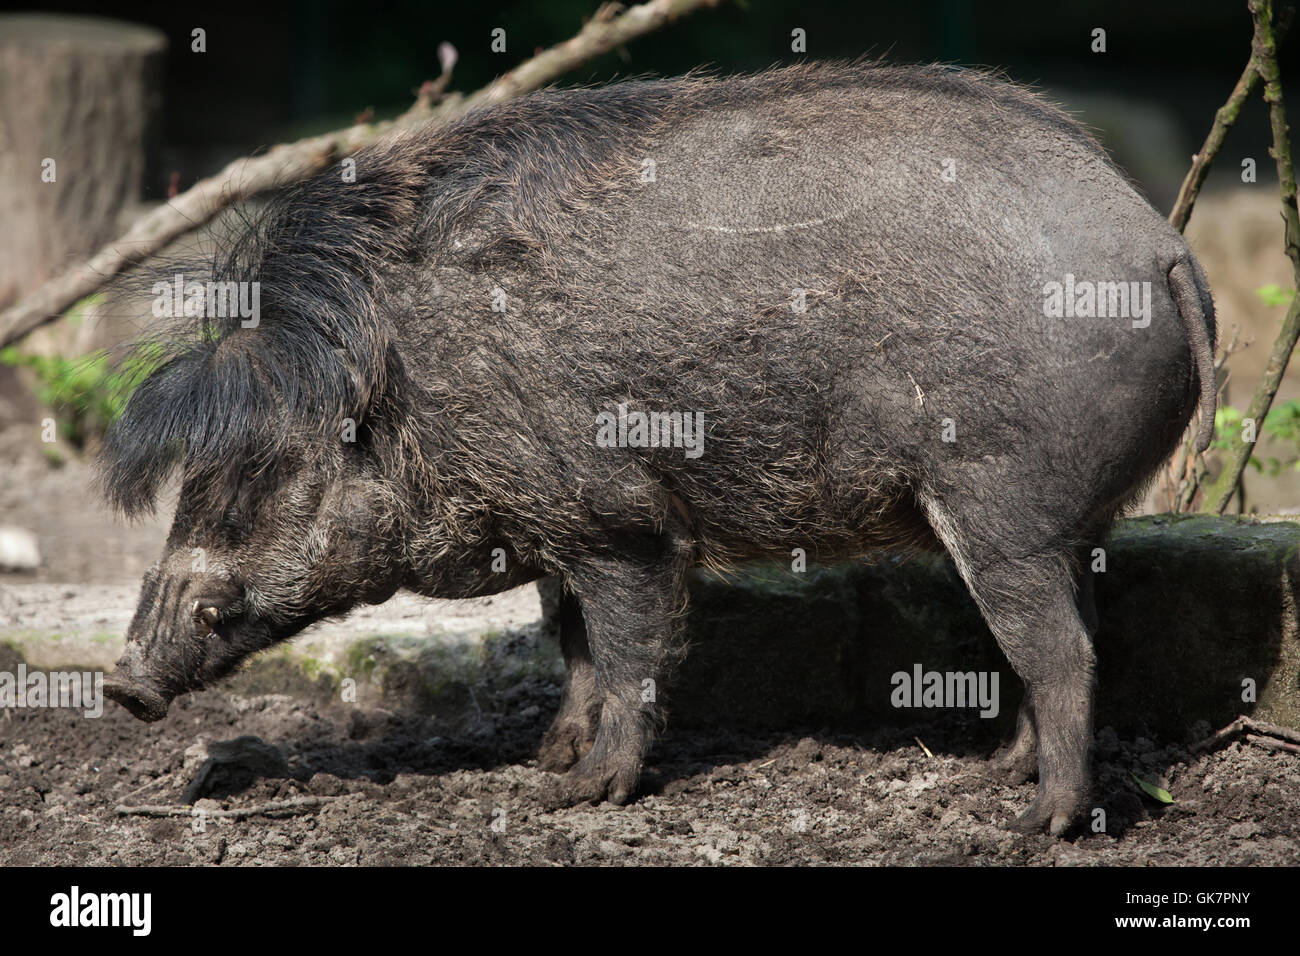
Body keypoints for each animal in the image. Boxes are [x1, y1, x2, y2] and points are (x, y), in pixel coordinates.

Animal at [100, 61, 1216, 836]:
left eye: (261, 473)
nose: (119, 685)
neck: (411, 388)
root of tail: (1161, 242)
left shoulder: (620, 521)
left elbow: (630, 648)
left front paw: (582, 793)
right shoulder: (555, 529)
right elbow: (573, 644)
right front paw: (548, 761)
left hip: (1001, 508)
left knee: (1059, 650)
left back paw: (1032, 821)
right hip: (1058, 522)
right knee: (1061, 637)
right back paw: (994, 773)